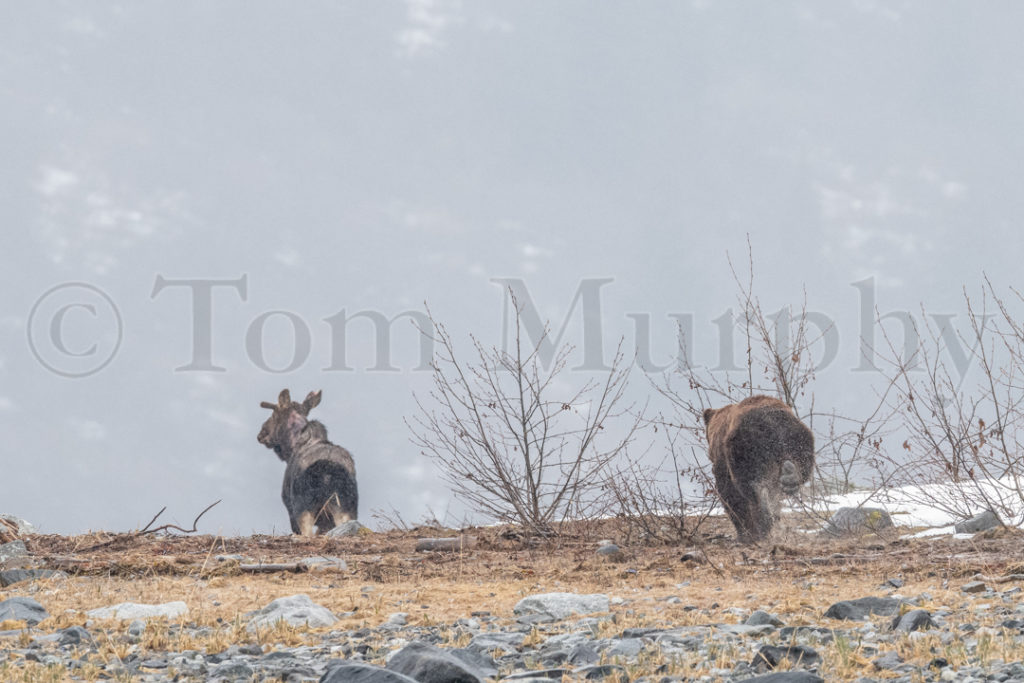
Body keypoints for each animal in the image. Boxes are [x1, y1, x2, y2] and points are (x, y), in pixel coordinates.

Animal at [257, 389, 358, 536]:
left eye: (274, 414)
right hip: (345, 507)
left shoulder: (291, 509)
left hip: (304, 508)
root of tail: (328, 473)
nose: (261, 434)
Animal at [702, 395, 814, 543]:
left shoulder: (723, 462)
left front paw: (744, 534)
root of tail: (772, 421)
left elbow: (730, 494)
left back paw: (763, 519)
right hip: (798, 438)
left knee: (751, 486)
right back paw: (790, 477)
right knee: (801, 466)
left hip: (745, 448)